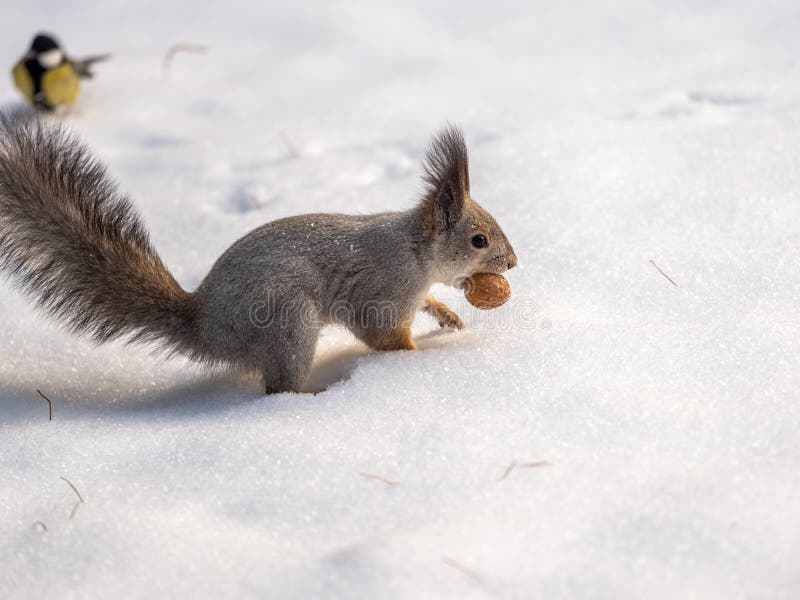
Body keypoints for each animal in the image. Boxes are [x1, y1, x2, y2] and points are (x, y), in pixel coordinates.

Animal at [0, 110, 517, 393]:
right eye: (479, 241)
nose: (512, 263)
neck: (413, 251)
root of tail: (203, 324)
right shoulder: (382, 290)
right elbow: (381, 335)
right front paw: (418, 357)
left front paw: (446, 316)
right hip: (287, 321)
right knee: (276, 387)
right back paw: (311, 396)